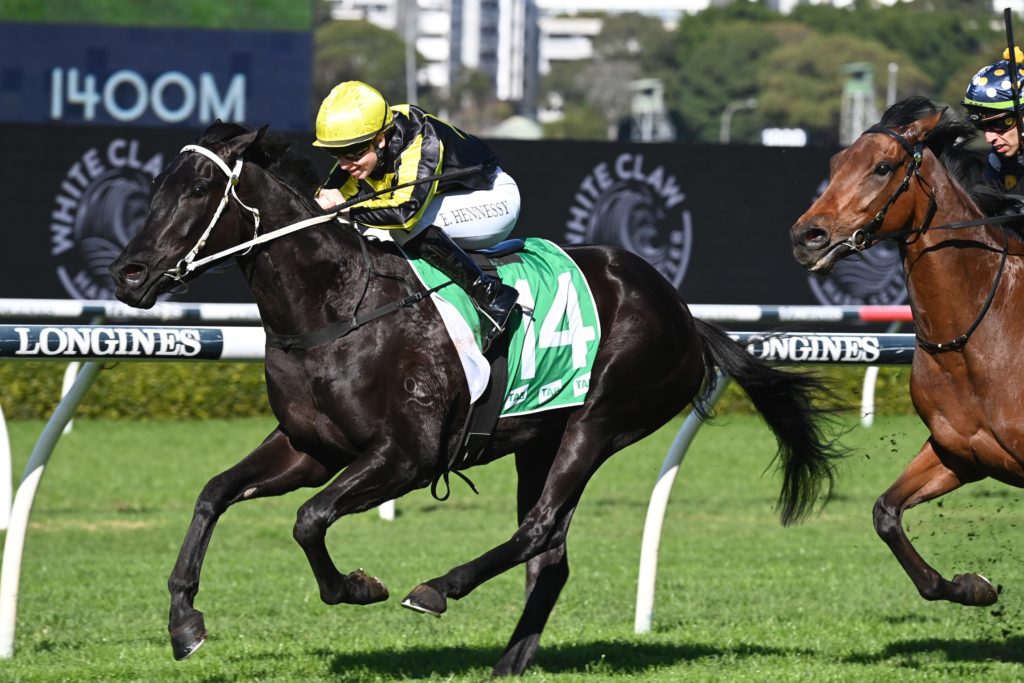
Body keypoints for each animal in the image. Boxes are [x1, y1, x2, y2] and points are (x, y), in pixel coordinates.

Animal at [110, 121, 842, 676]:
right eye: (154, 186)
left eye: (200, 187)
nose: (128, 274)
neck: (336, 305)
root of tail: (684, 314)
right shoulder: (309, 447)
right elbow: (214, 493)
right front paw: (184, 622)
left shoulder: (407, 456)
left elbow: (310, 519)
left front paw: (357, 586)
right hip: (540, 439)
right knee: (551, 556)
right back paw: (507, 661)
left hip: (599, 421)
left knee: (540, 528)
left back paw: (438, 588)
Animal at [791, 96, 1024, 608]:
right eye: (836, 163)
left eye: (883, 167)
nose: (806, 237)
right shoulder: (959, 452)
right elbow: (885, 512)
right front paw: (972, 586)